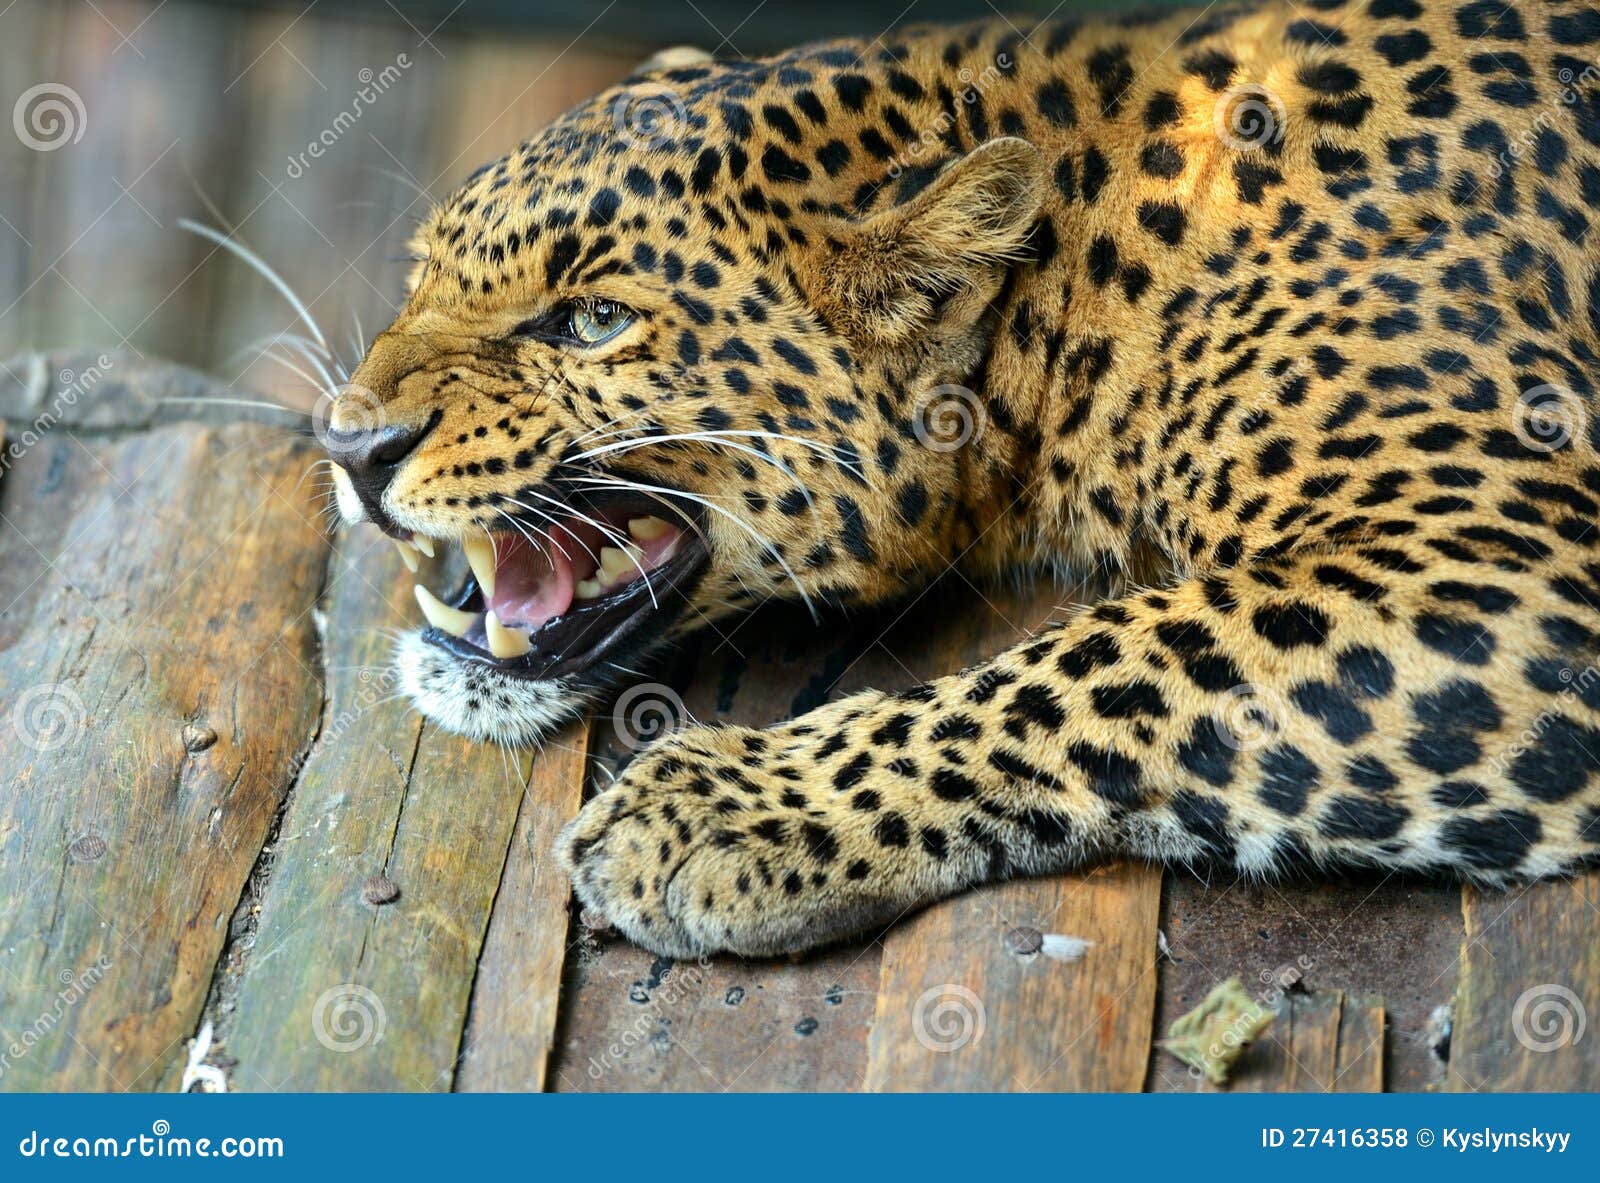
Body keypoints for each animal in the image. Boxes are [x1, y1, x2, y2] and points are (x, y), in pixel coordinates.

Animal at [324, 0, 1600, 959]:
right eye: (422, 273)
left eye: (591, 322)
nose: (348, 445)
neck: (1091, 261)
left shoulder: (1512, 552)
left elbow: (1104, 658)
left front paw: (722, 811)